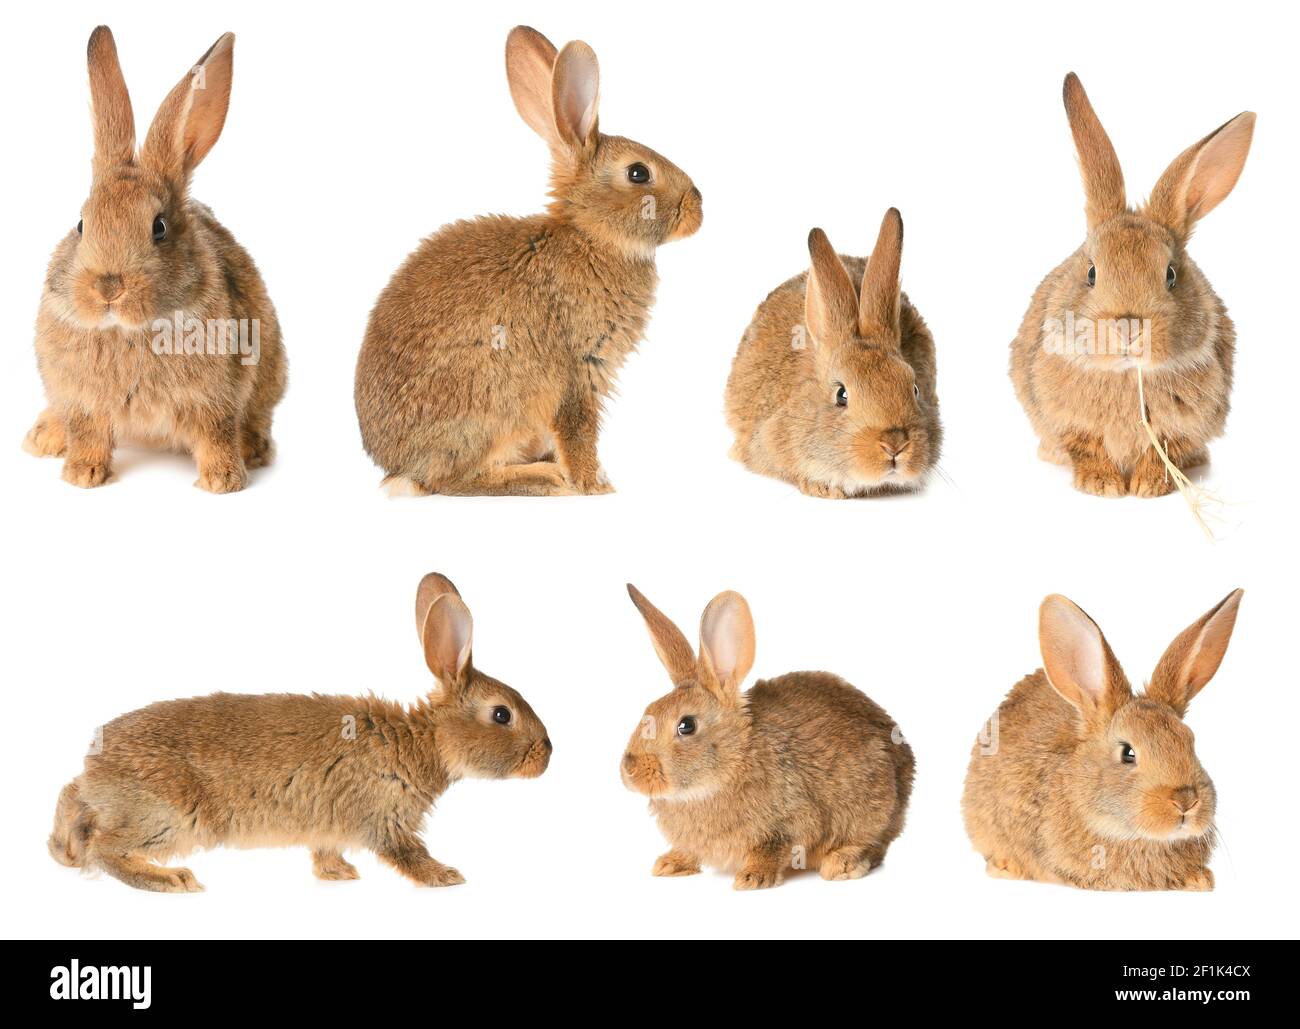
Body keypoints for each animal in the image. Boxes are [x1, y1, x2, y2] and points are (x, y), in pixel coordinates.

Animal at [23, 27, 286, 493]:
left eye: (158, 228)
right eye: (81, 224)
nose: (108, 288)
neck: (129, 331)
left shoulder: (217, 396)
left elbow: (216, 434)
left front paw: (223, 482)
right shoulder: (82, 401)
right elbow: (87, 432)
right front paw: (82, 475)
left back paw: (253, 450)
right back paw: (44, 438)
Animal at [48, 573, 552, 892]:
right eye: (502, 715)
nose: (547, 755)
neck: (424, 741)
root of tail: (95, 770)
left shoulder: (330, 825)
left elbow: (325, 850)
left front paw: (338, 874)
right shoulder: (384, 818)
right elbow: (408, 854)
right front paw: (446, 876)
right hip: (172, 817)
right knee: (104, 848)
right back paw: (171, 880)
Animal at [355, 25, 702, 496]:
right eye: (638, 173)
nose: (699, 207)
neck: (590, 237)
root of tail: (401, 466)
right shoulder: (578, 371)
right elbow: (577, 430)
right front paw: (594, 486)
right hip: (492, 406)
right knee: (455, 480)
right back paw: (543, 478)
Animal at [620, 585, 914, 889]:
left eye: (686, 725)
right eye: (647, 711)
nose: (629, 770)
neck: (735, 761)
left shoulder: (792, 821)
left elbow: (772, 848)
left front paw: (752, 878)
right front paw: (669, 864)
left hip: (876, 809)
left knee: (874, 844)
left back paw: (842, 863)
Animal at [1010, 73, 1255, 497]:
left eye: (1171, 275)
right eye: (1091, 273)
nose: (1128, 327)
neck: (1128, 374)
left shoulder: (1182, 427)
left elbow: (1164, 451)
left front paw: (1148, 486)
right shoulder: (1070, 422)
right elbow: (1087, 448)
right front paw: (1102, 485)